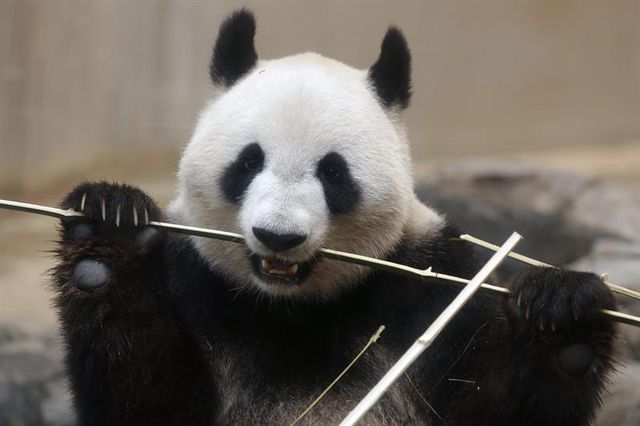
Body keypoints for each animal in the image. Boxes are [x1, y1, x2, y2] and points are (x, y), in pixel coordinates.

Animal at [53, 9, 617, 426]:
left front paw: (563, 313)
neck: (294, 306)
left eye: (333, 172)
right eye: (248, 162)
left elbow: (494, 406)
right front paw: (107, 227)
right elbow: (148, 401)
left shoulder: (436, 291)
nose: (278, 236)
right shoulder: (196, 280)